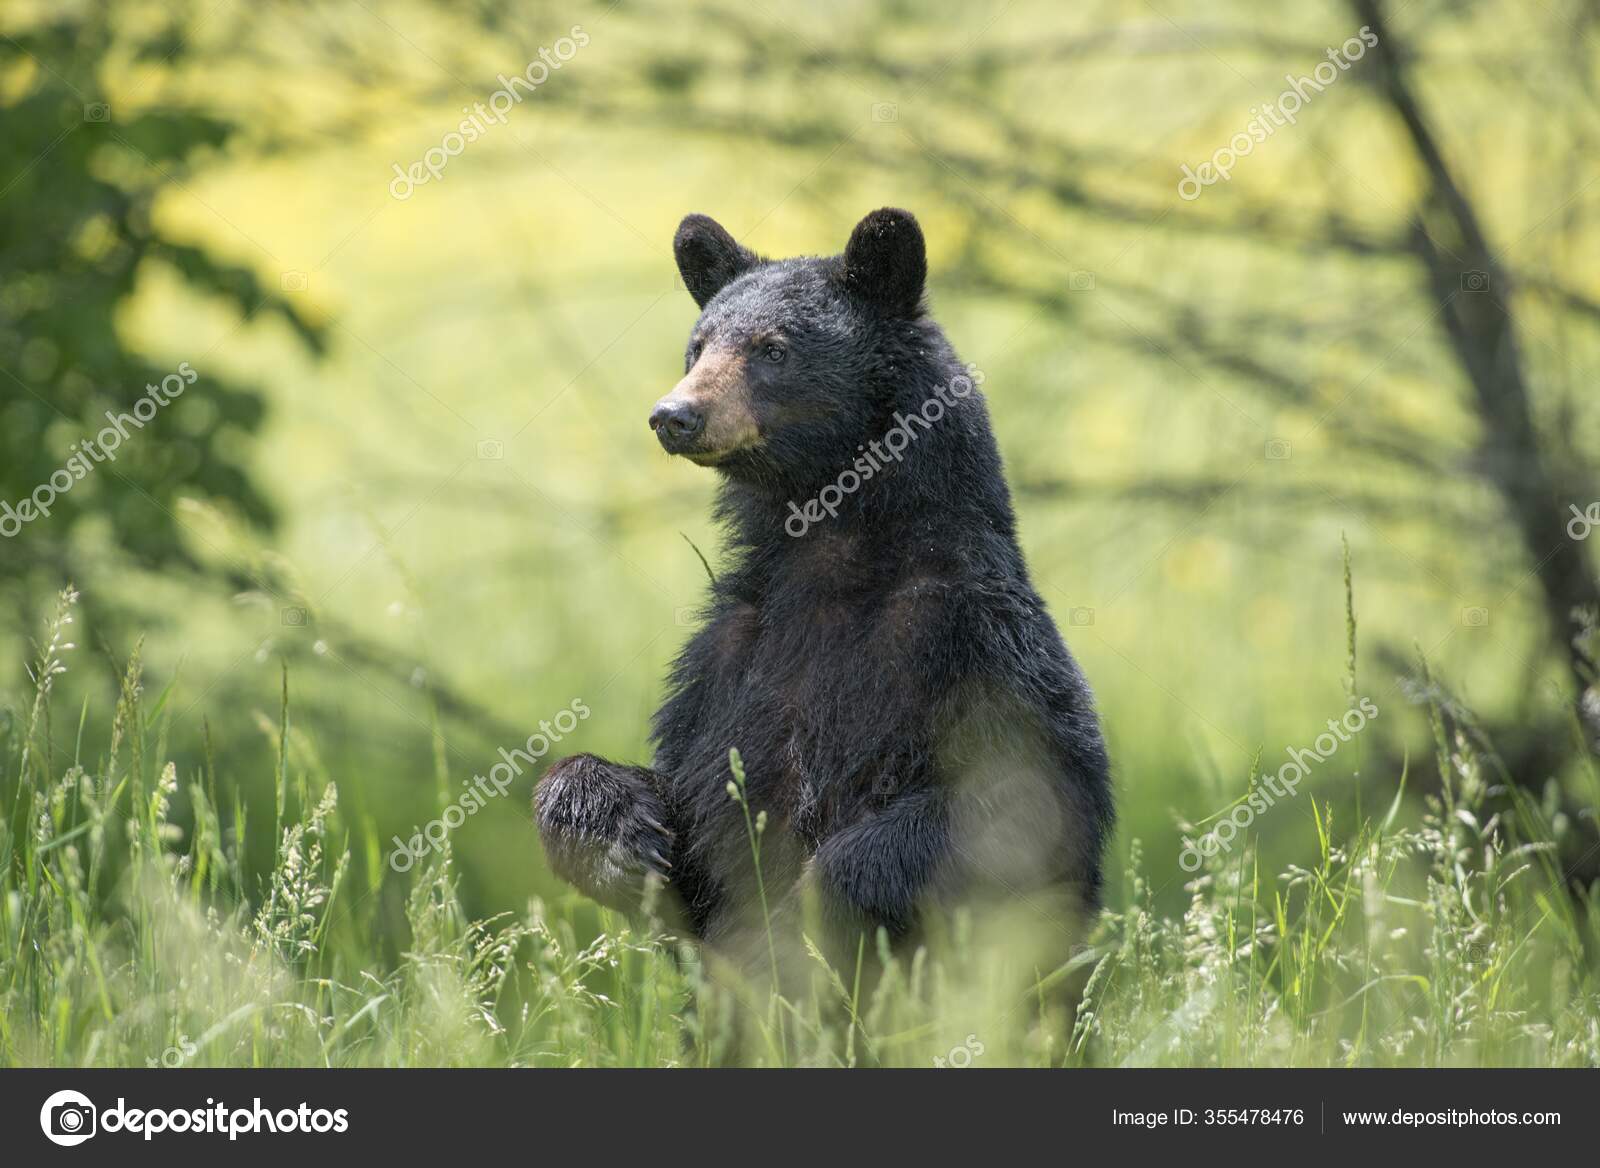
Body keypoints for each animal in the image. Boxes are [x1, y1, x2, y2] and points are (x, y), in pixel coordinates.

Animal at [534, 208, 1112, 977]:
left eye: (773, 349)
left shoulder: (973, 637)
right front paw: (620, 839)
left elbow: (1020, 799)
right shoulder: (725, 661)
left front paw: (819, 908)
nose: (673, 415)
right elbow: (693, 800)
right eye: (697, 347)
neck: (830, 555)